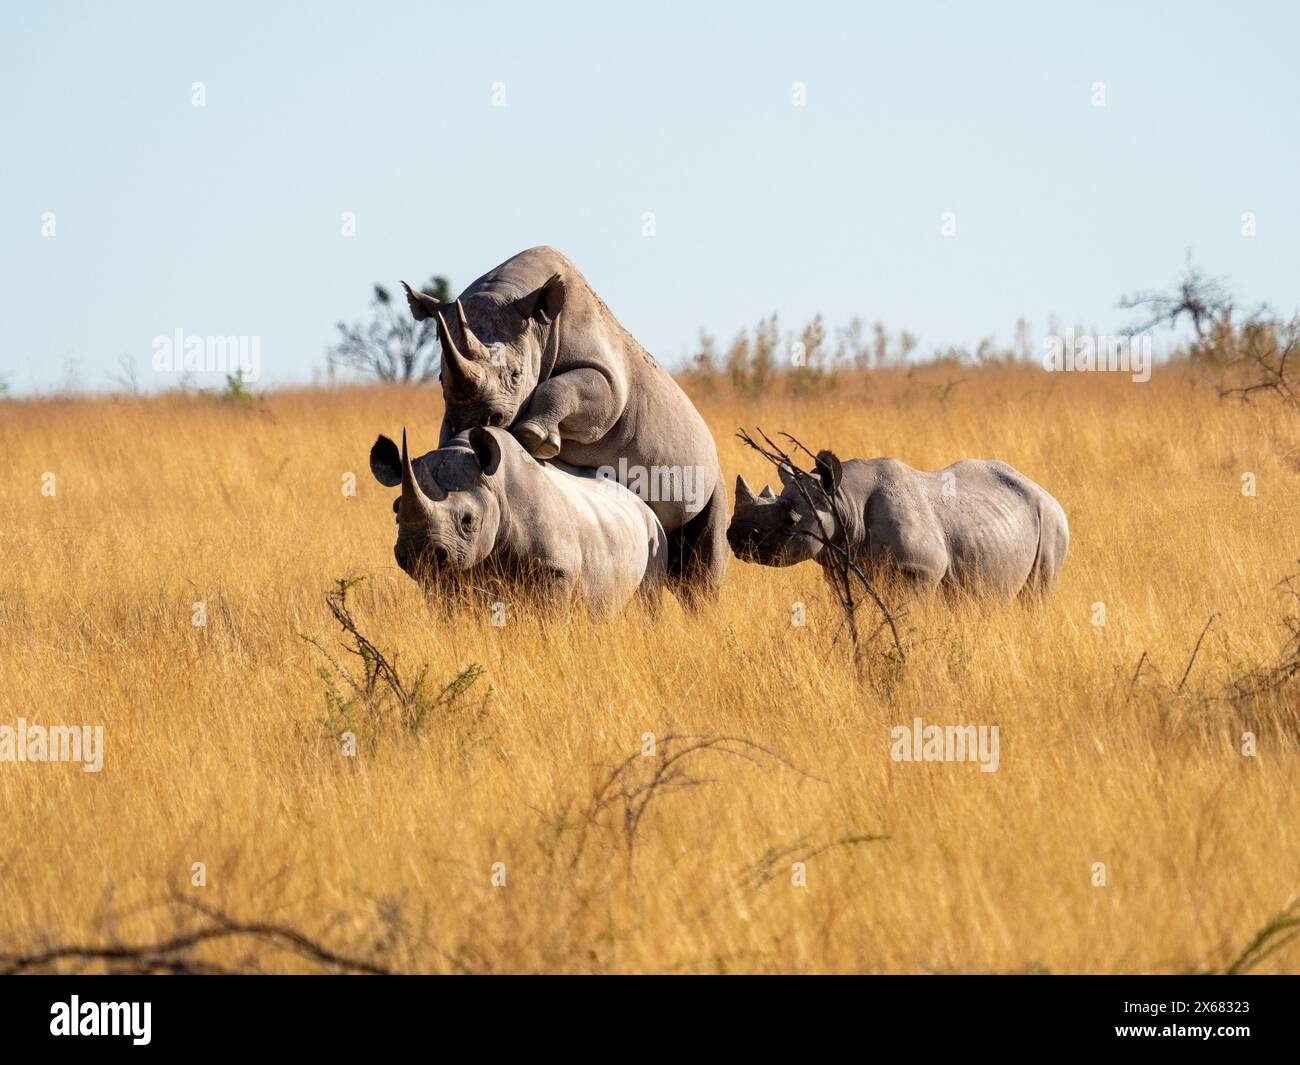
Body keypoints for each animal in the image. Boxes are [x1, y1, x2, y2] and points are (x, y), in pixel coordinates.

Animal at [369, 426, 667, 617]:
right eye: (396, 512)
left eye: (468, 520)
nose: (419, 554)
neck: (495, 487)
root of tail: (643, 504)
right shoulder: (444, 575)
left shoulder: (555, 569)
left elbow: (549, 622)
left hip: (655, 534)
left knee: (648, 602)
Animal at [400, 246, 727, 602]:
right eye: (440, 378)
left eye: (516, 375)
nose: (479, 421)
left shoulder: (607, 377)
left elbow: (567, 387)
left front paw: (534, 438)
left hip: (710, 470)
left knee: (700, 574)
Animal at [727, 452, 1068, 600]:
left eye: (791, 520)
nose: (735, 537)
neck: (845, 499)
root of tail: (1048, 494)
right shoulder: (839, 567)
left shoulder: (919, 569)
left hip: (1052, 520)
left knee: (1037, 595)